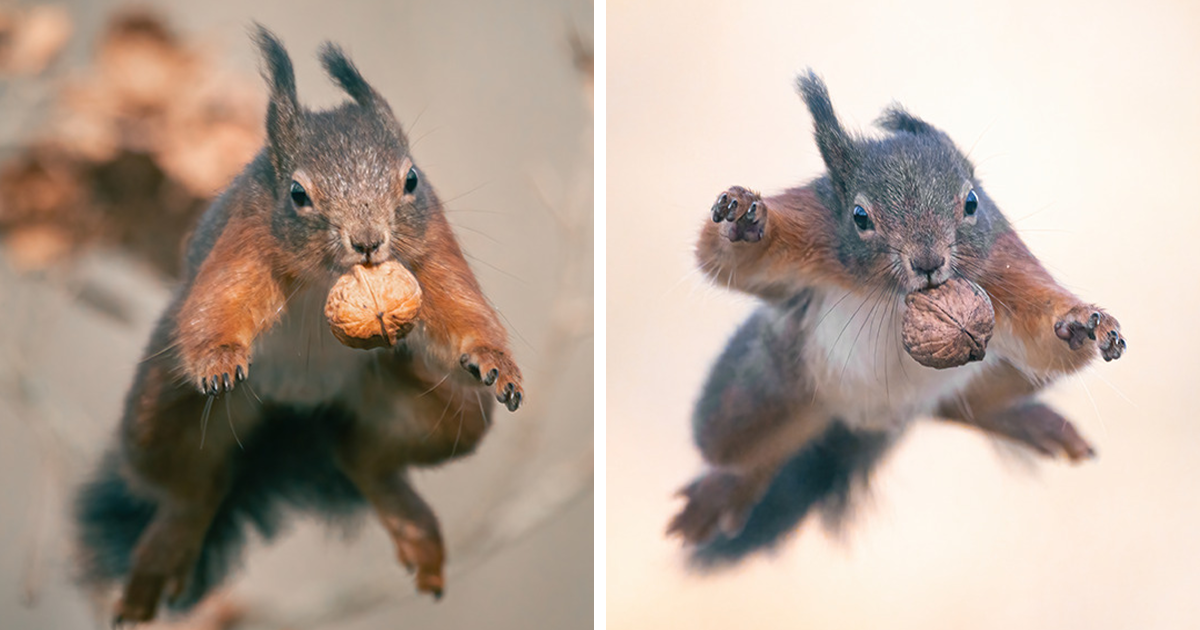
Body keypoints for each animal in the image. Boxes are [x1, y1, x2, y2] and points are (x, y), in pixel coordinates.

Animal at [72, 26, 524, 624]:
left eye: (410, 179)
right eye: (297, 193)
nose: (368, 241)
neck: (328, 276)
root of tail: (297, 410)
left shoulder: (430, 251)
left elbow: (460, 307)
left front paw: (495, 362)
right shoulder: (243, 245)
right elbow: (219, 305)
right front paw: (219, 357)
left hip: (435, 412)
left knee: (365, 459)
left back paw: (414, 530)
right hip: (158, 417)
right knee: (190, 490)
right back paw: (156, 564)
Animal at [667, 71, 1126, 566]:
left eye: (971, 202)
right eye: (859, 215)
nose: (928, 262)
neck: (900, 295)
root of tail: (862, 420)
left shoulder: (1000, 266)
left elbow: (1044, 336)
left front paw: (1081, 325)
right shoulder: (812, 229)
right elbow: (725, 261)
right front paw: (746, 221)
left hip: (1001, 376)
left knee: (964, 409)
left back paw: (1022, 420)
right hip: (756, 391)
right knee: (741, 452)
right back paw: (725, 491)